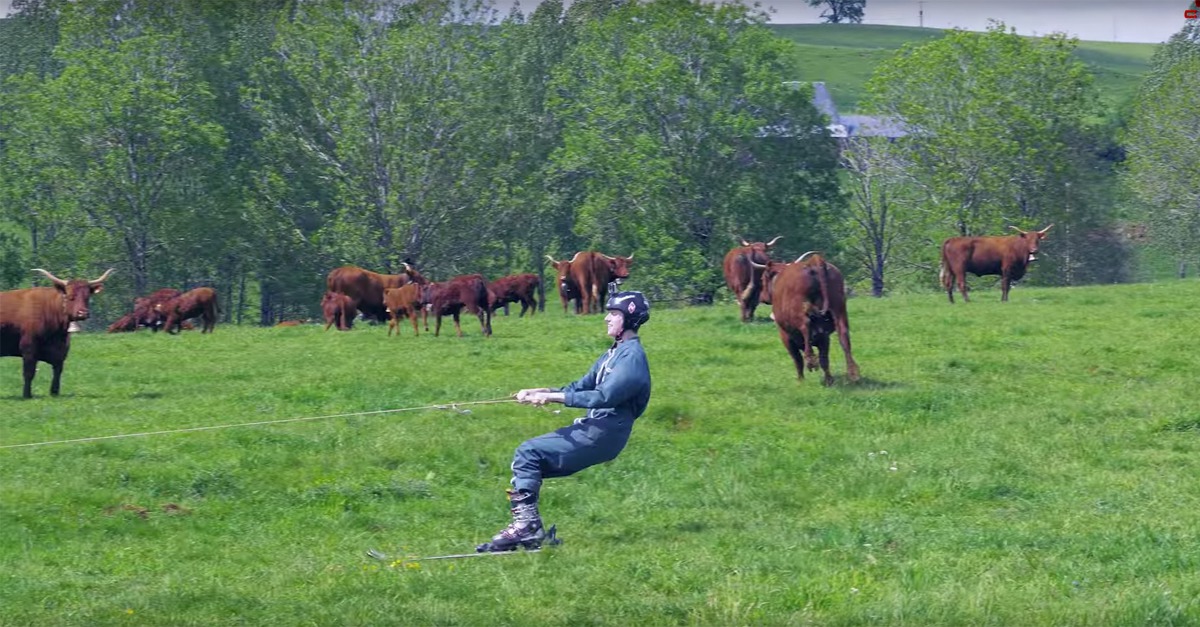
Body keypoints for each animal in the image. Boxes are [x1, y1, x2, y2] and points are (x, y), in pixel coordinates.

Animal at [1, 268, 114, 398]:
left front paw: (54, 392)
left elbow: (57, 371)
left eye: (87, 296)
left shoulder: (61, 351)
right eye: (70, 296)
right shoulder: (28, 348)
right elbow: (29, 373)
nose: (83, 313)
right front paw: (27, 395)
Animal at [755, 253, 859, 385]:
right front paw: (828, 379)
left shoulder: (785, 336)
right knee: (843, 336)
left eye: (762, 279)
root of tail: (813, 262)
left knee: (806, 326)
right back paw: (852, 372)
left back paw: (811, 361)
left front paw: (800, 380)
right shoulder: (825, 337)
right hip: (839, 310)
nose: (762, 298)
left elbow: (797, 359)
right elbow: (824, 358)